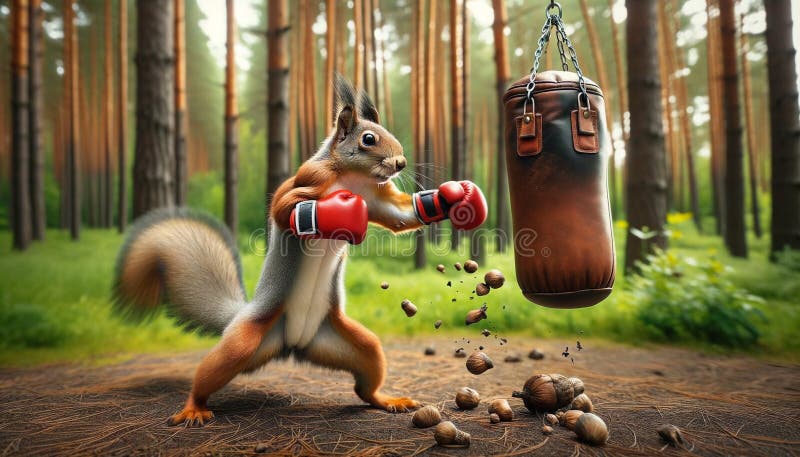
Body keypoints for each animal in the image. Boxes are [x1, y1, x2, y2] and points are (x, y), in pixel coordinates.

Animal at [112, 75, 488, 426]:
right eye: (368, 139)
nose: (400, 163)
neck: (352, 179)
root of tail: (292, 344)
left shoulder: (376, 197)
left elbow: (401, 216)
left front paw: (457, 195)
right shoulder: (308, 178)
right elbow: (285, 208)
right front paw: (341, 212)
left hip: (354, 343)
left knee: (366, 383)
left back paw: (388, 400)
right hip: (244, 341)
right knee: (209, 373)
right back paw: (193, 407)